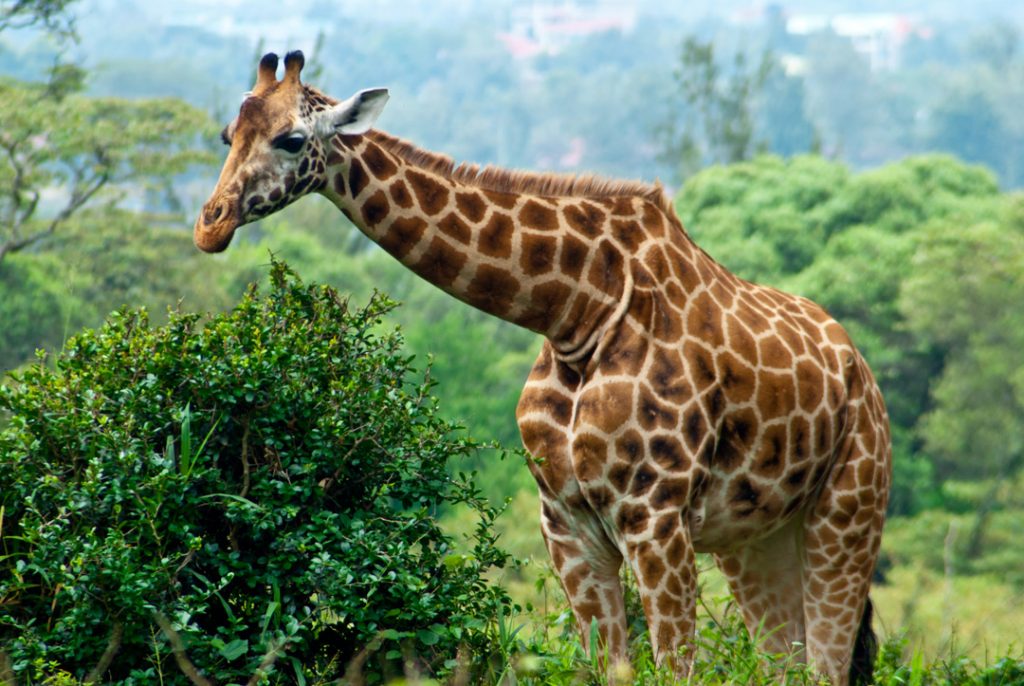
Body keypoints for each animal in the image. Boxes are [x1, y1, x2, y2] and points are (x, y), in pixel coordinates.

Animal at [194, 51, 891, 685]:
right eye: (229, 135)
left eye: (290, 139)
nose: (210, 225)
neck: (578, 313)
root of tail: (860, 368)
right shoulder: (567, 524)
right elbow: (612, 671)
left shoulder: (655, 517)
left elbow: (676, 669)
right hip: (757, 539)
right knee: (788, 660)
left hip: (848, 512)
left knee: (827, 661)